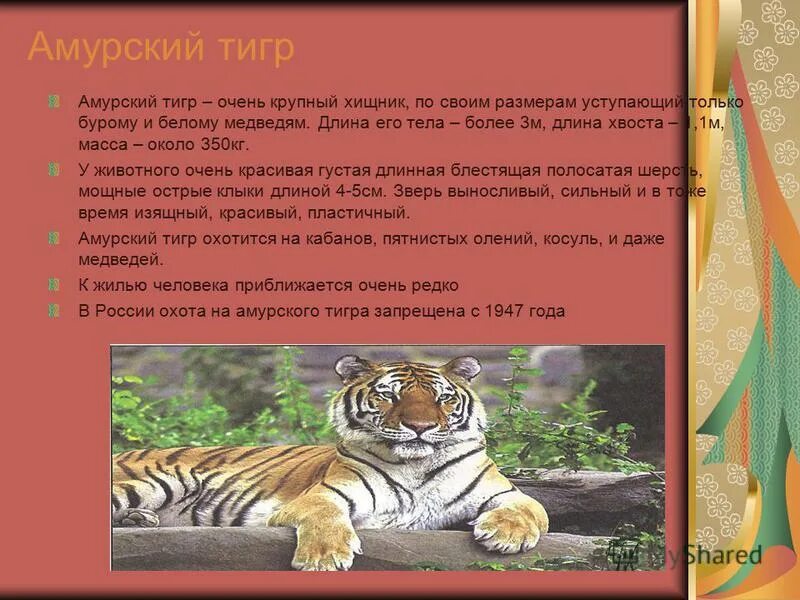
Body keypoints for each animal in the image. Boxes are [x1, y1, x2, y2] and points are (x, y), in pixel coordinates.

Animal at [112, 355, 549, 571]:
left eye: (443, 398)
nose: (421, 427)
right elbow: (325, 517)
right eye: (389, 396)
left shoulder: (502, 491)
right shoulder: (323, 495)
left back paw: (140, 521)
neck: (416, 465)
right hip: (155, 481)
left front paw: (506, 536)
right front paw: (324, 558)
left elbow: (532, 509)